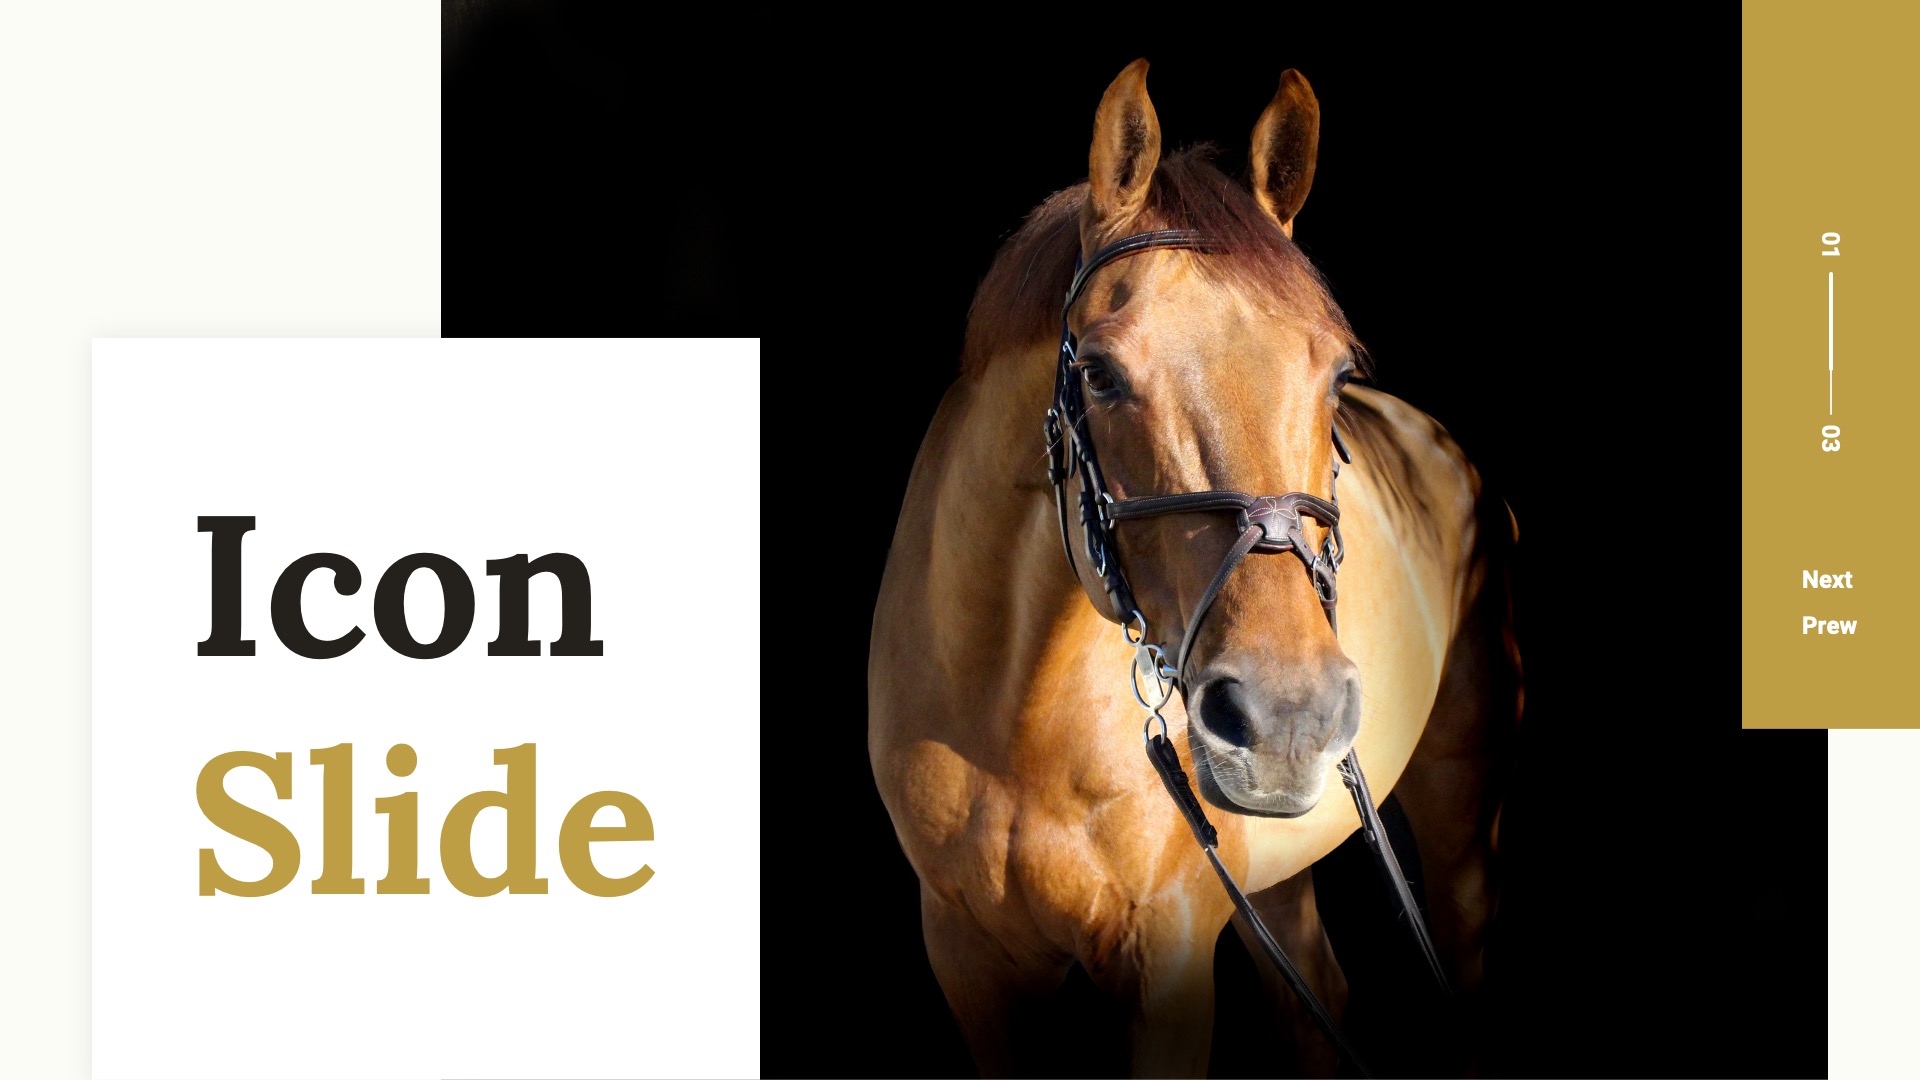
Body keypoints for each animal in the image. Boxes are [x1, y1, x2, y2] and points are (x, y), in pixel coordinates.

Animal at [869, 59, 1520, 1077]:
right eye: (1098, 373)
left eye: (1337, 375)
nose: (1288, 715)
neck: (1013, 718)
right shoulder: (970, 961)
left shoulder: (1165, 970)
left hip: (1460, 825)